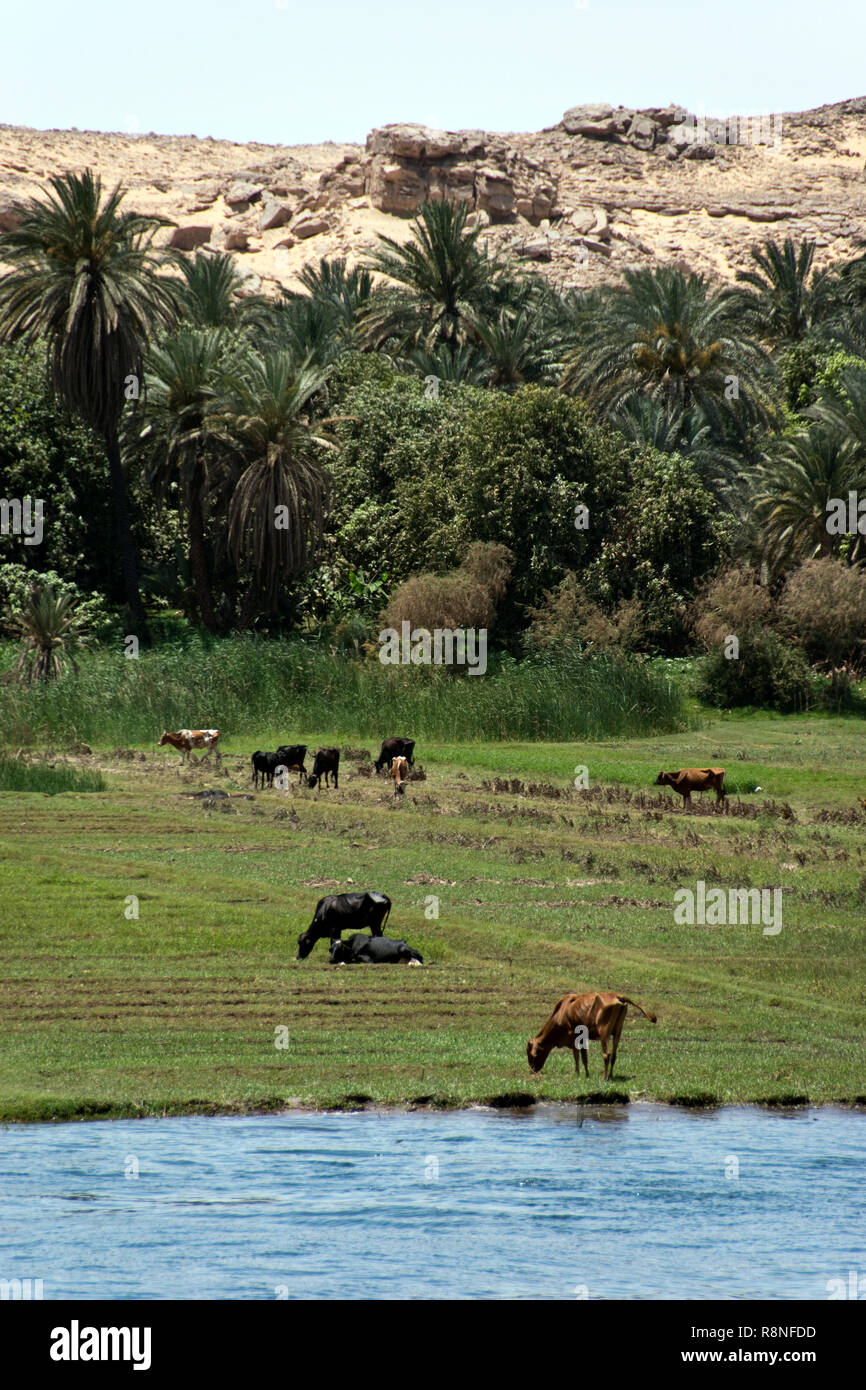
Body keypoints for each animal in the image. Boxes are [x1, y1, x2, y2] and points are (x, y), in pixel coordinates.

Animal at [527, 991, 657, 1081]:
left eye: (531, 1054)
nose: (532, 1070)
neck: (561, 1013)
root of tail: (618, 996)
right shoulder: (583, 1038)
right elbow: (585, 1058)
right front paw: (587, 1075)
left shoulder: (574, 1037)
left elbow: (577, 1056)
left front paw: (577, 1074)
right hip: (618, 1031)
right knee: (614, 1055)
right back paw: (610, 1075)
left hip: (604, 1032)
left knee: (607, 1054)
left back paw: (604, 1078)